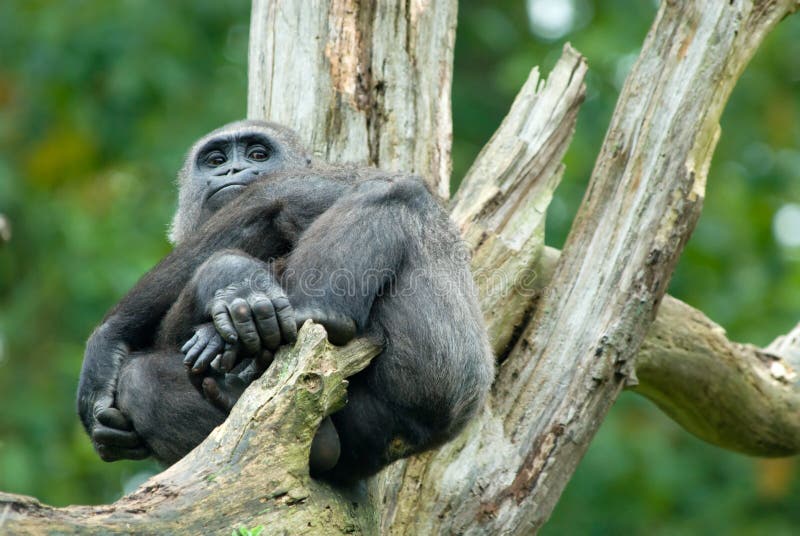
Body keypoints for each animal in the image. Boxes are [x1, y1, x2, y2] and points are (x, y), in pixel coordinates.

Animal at [78, 120, 494, 482]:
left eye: (258, 154)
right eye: (215, 160)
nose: (232, 169)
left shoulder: (310, 178)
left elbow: (264, 203)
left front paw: (106, 340)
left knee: (392, 192)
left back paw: (317, 317)